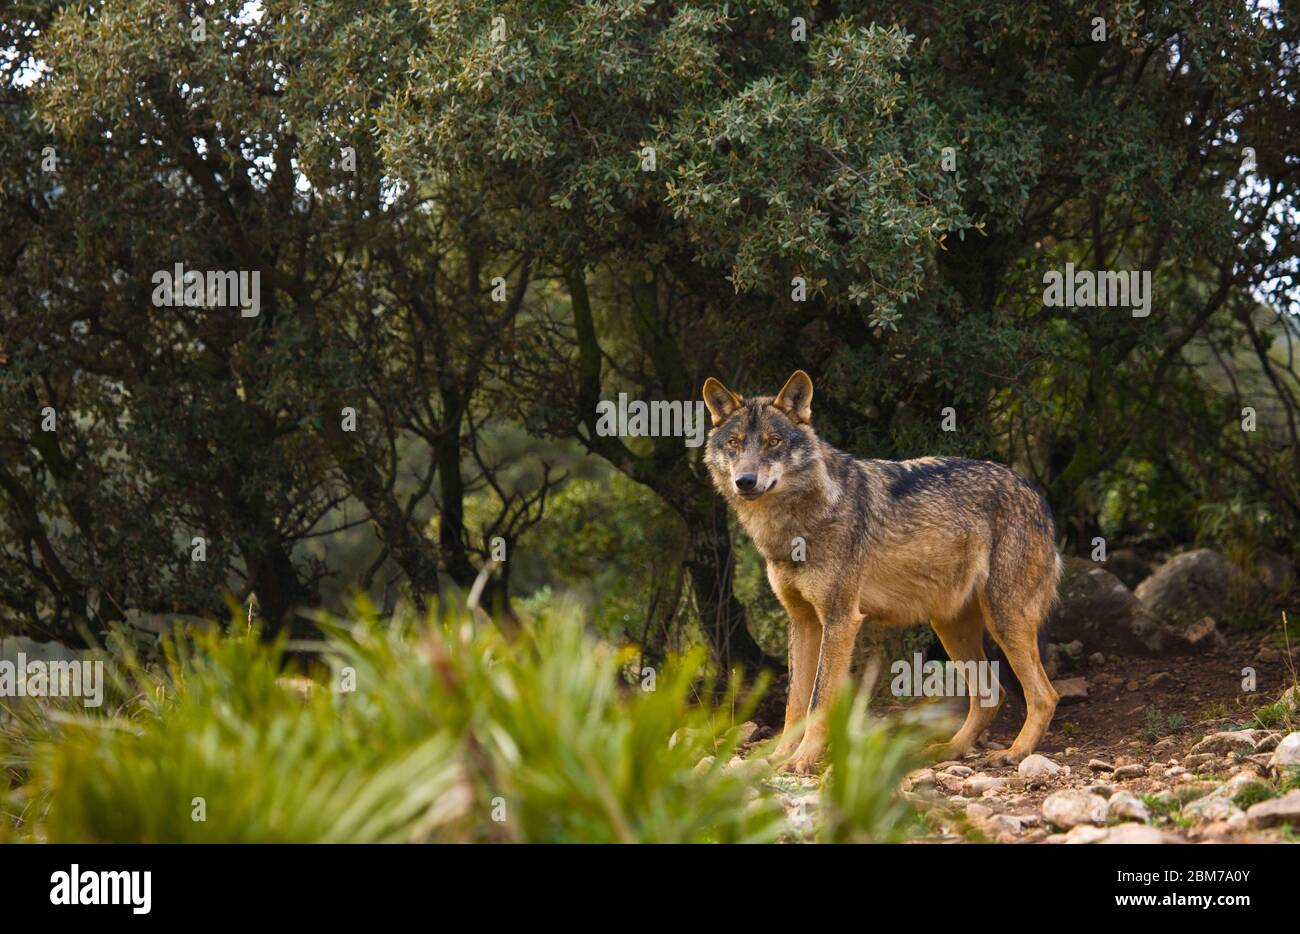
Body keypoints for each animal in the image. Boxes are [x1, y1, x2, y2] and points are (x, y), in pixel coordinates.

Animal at [703, 370, 1061, 774]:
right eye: (734, 443)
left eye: (773, 442)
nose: (745, 481)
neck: (795, 525)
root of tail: (1037, 494)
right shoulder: (803, 621)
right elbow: (795, 703)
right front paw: (779, 756)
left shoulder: (841, 620)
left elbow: (818, 700)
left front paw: (803, 759)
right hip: (951, 628)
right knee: (991, 694)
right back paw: (949, 749)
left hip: (1002, 620)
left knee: (1044, 695)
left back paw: (1016, 752)